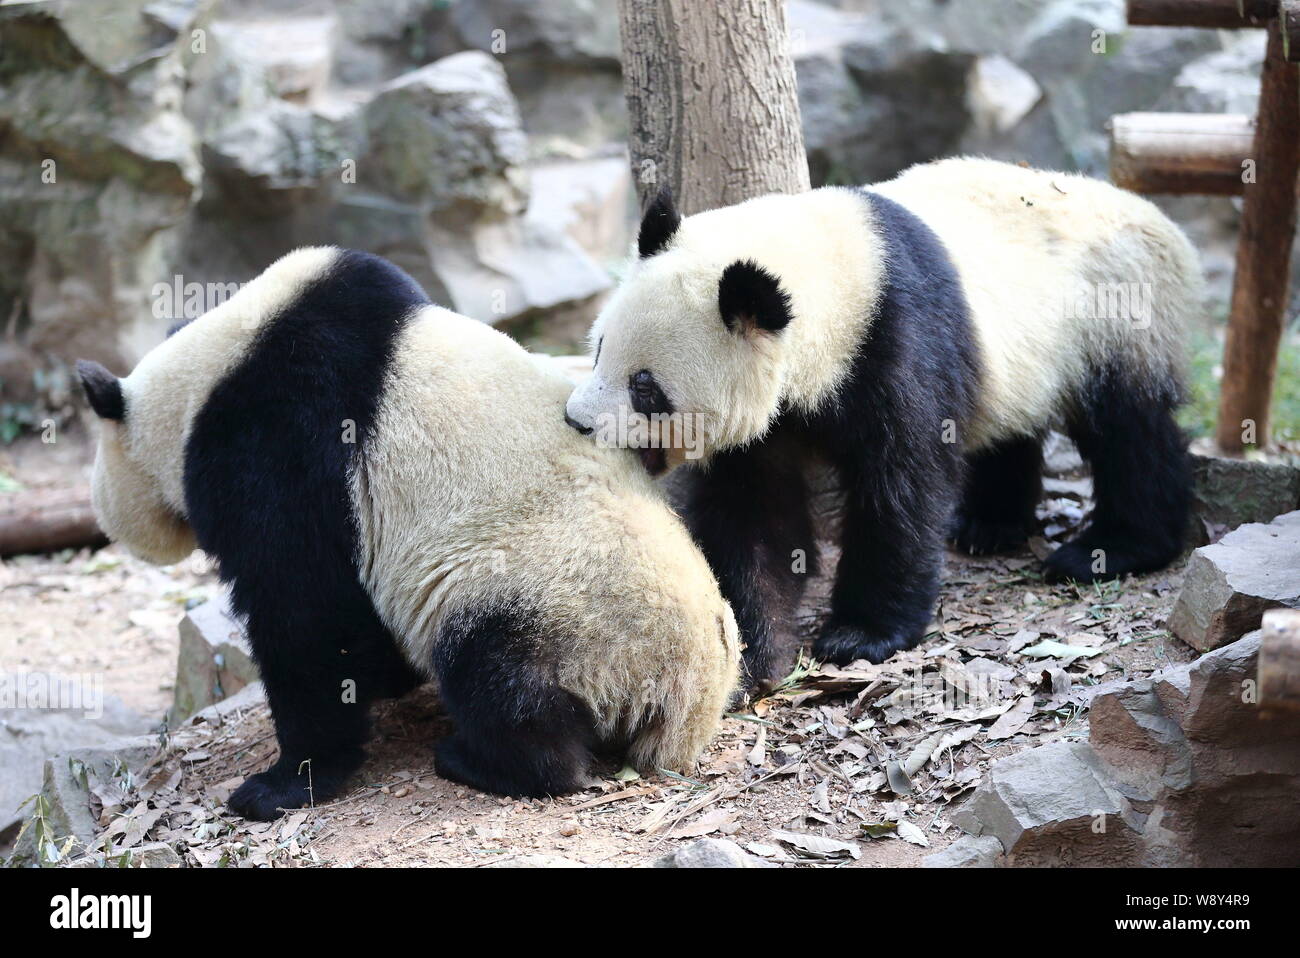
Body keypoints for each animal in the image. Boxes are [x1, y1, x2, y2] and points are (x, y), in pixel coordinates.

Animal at [77, 246, 740, 821]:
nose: (115, 531)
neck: (210, 370)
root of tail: (690, 702)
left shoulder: (276, 442)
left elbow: (304, 613)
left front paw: (281, 785)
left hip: (566, 611)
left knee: (500, 675)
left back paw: (481, 762)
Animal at [564, 157, 1202, 680]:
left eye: (646, 388)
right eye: (599, 350)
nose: (577, 422)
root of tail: (1162, 223)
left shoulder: (898, 341)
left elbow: (903, 484)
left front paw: (860, 636)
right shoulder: (775, 412)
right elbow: (753, 511)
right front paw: (750, 651)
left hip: (1113, 312)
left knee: (1130, 432)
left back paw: (1112, 547)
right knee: (1011, 424)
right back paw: (988, 524)